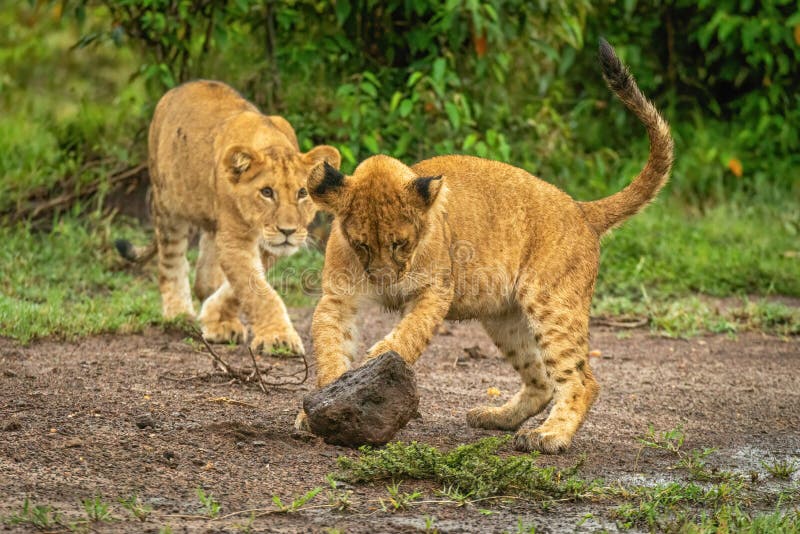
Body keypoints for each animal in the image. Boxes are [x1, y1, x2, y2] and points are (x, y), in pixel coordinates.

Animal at [115, 80, 340, 356]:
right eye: (267, 192)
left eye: (302, 193)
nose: (287, 231)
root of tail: (182, 86)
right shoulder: (236, 239)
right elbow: (257, 291)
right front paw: (279, 338)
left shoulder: (267, 246)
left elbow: (242, 286)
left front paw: (217, 321)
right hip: (167, 204)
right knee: (171, 260)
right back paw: (178, 313)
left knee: (205, 272)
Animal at [299, 40, 673, 452]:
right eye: (361, 245)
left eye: (401, 244)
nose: (383, 281)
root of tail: (580, 208)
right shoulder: (339, 298)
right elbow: (331, 349)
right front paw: (322, 403)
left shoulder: (435, 291)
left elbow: (406, 336)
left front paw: (374, 367)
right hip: (504, 318)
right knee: (541, 380)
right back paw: (497, 417)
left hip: (553, 304)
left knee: (581, 380)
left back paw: (550, 435)